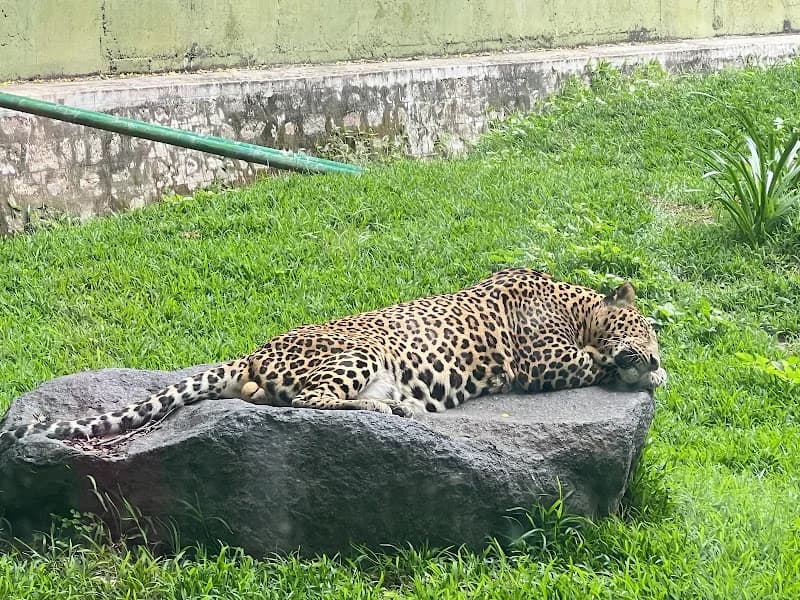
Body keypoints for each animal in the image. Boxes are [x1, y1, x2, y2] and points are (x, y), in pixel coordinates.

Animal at [0, 268, 666, 447]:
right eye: (649, 332)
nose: (659, 365)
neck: (577, 304)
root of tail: (253, 352)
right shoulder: (540, 360)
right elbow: (593, 361)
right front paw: (632, 369)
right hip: (360, 354)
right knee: (312, 402)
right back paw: (388, 416)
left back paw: (401, 413)